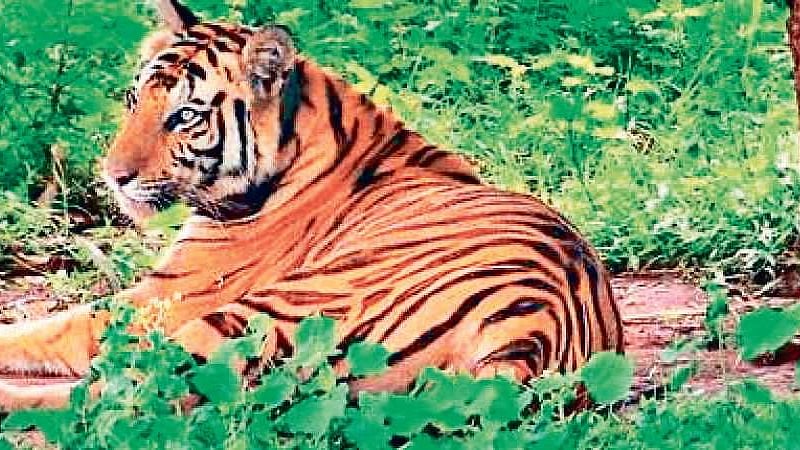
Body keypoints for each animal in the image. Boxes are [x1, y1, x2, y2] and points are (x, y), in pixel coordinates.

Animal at [0, 0, 623, 410]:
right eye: (135, 101)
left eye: (185, 116)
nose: (113, 177)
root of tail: (531, 332)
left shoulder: (163, 298)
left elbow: (43, 328)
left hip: (264, 315)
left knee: (117, 397)